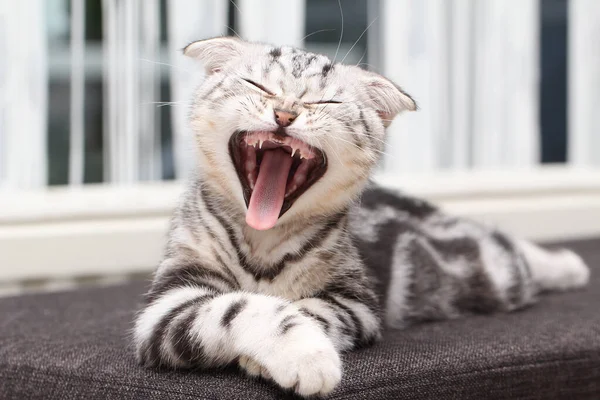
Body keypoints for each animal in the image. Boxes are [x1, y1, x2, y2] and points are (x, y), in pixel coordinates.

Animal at [132, 38, 592, 396]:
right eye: (257, 85)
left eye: (326, 101)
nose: (285, 114)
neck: (263, 242)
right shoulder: (167, 306)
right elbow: (242, 307)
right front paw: (304, 355)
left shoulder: (356, 303)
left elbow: (306, 310)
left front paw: (300, 355)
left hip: (486, 272)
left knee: (508, 248)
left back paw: (568, 265)